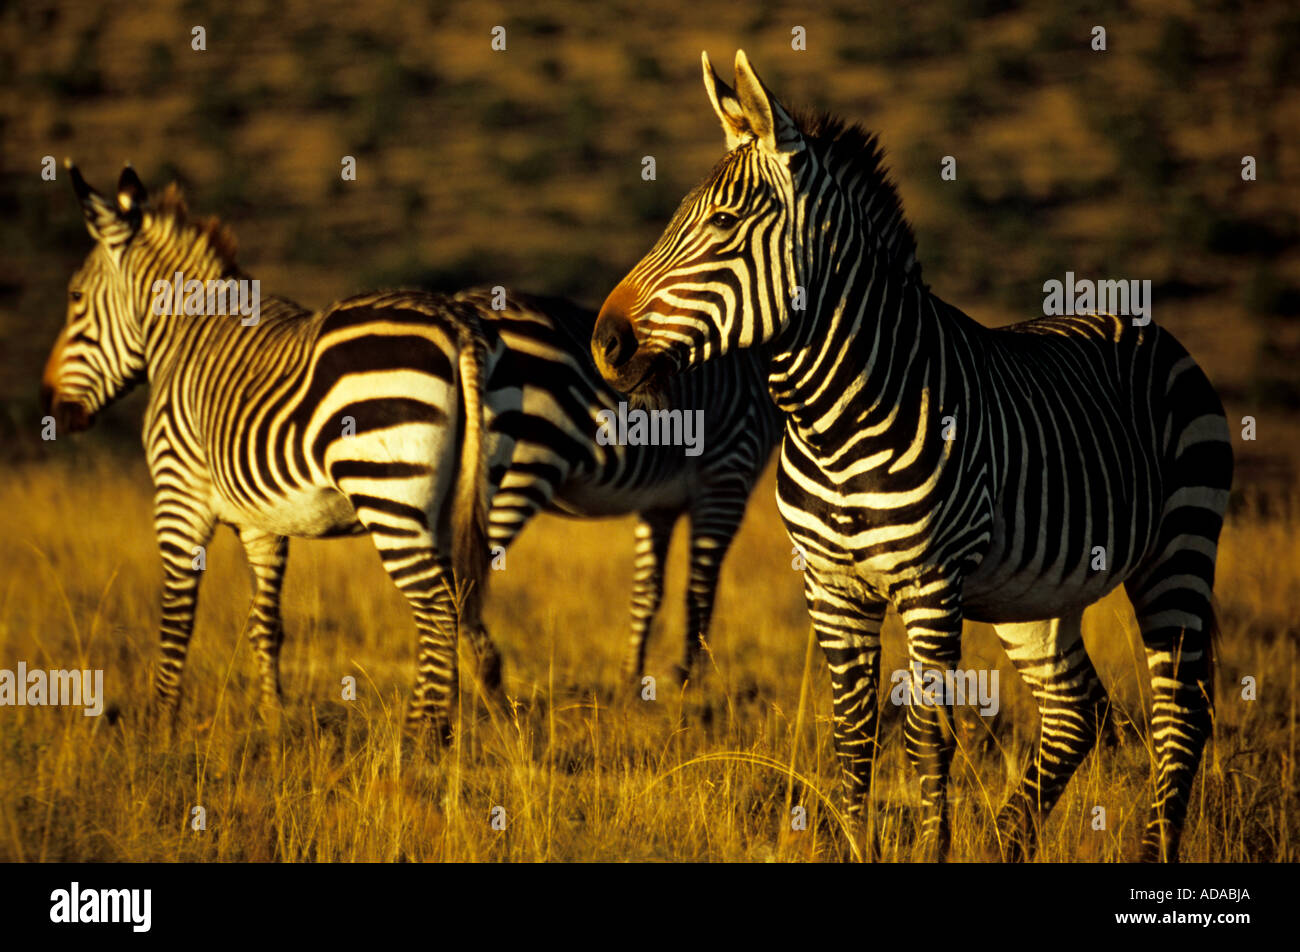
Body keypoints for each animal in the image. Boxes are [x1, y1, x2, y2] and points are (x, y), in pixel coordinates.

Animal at [590, 51, 1232, 862]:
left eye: (725, 223)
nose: (604, 344)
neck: (833, 425)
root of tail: (1139, 320)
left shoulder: (931, 583)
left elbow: (929, 735)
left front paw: (931, 850)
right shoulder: (831, 587)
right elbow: (851, 732)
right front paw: (849, 846)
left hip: (1179, 550)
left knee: (1180, 716)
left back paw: (1149, 853)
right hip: (1037, 593)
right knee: (1075, 712)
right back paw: (1008, 844)